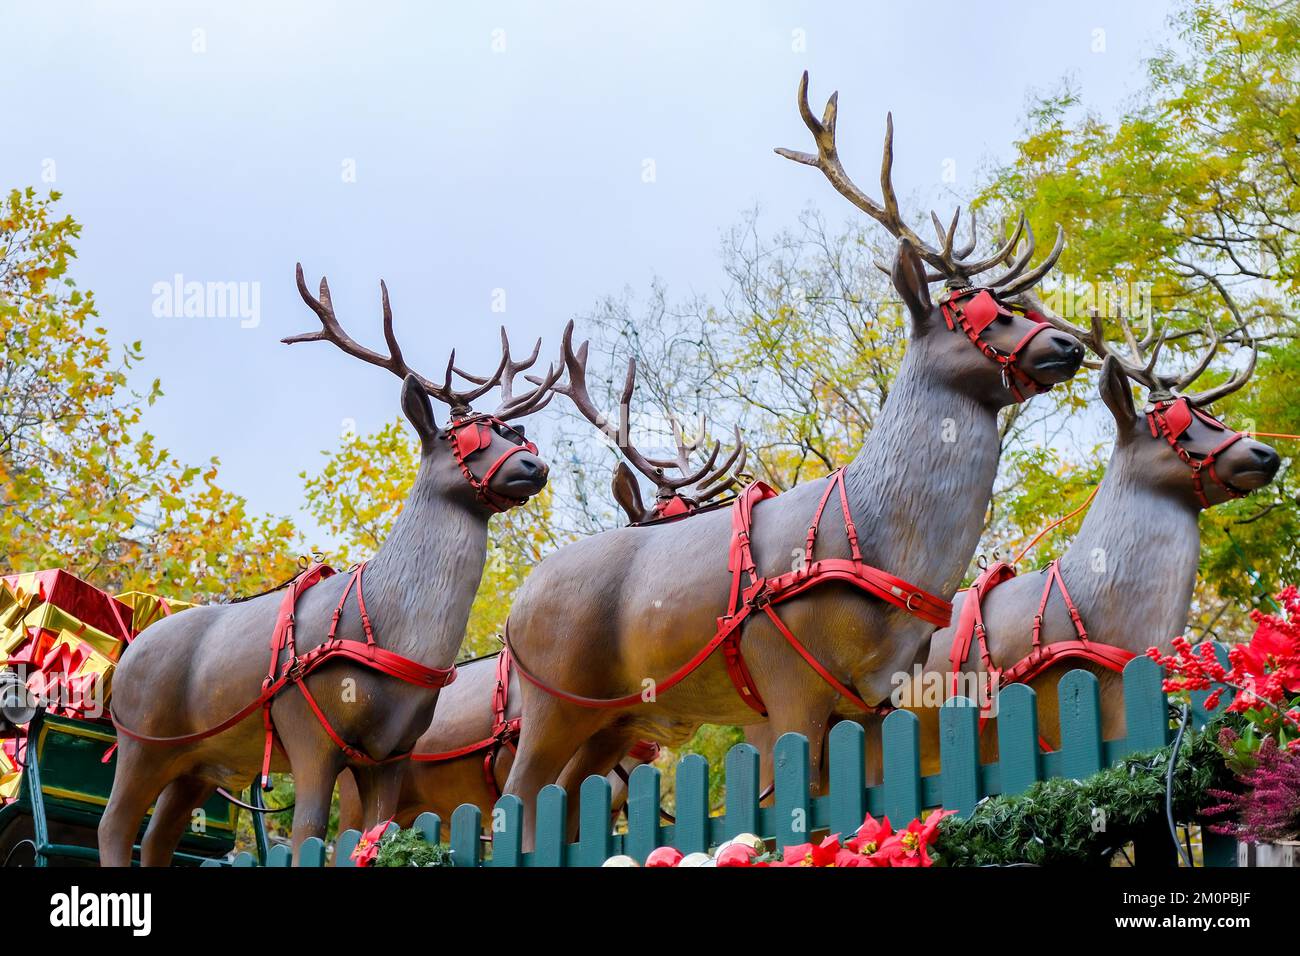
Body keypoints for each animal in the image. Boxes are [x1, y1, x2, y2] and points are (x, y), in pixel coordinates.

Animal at [98, 265, 560, 865]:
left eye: (516, 432)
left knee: (157, 837)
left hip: (198, 762)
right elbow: (308, 834)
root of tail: (126, 657)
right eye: (461, 438)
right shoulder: (308, 731)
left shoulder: (393, 751)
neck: (394, 633)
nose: (535, 466)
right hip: (141, 740)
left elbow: (375, 836)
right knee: (115, 825)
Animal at [494, 74, 1087, 845]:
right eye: (976, 313)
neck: (884, 545)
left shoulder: (874, 699)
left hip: (613, 718)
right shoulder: (786, 680)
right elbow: (788, 811)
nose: (1069, 345)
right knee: (517, 797)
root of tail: (513, 611)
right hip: (554, 700)